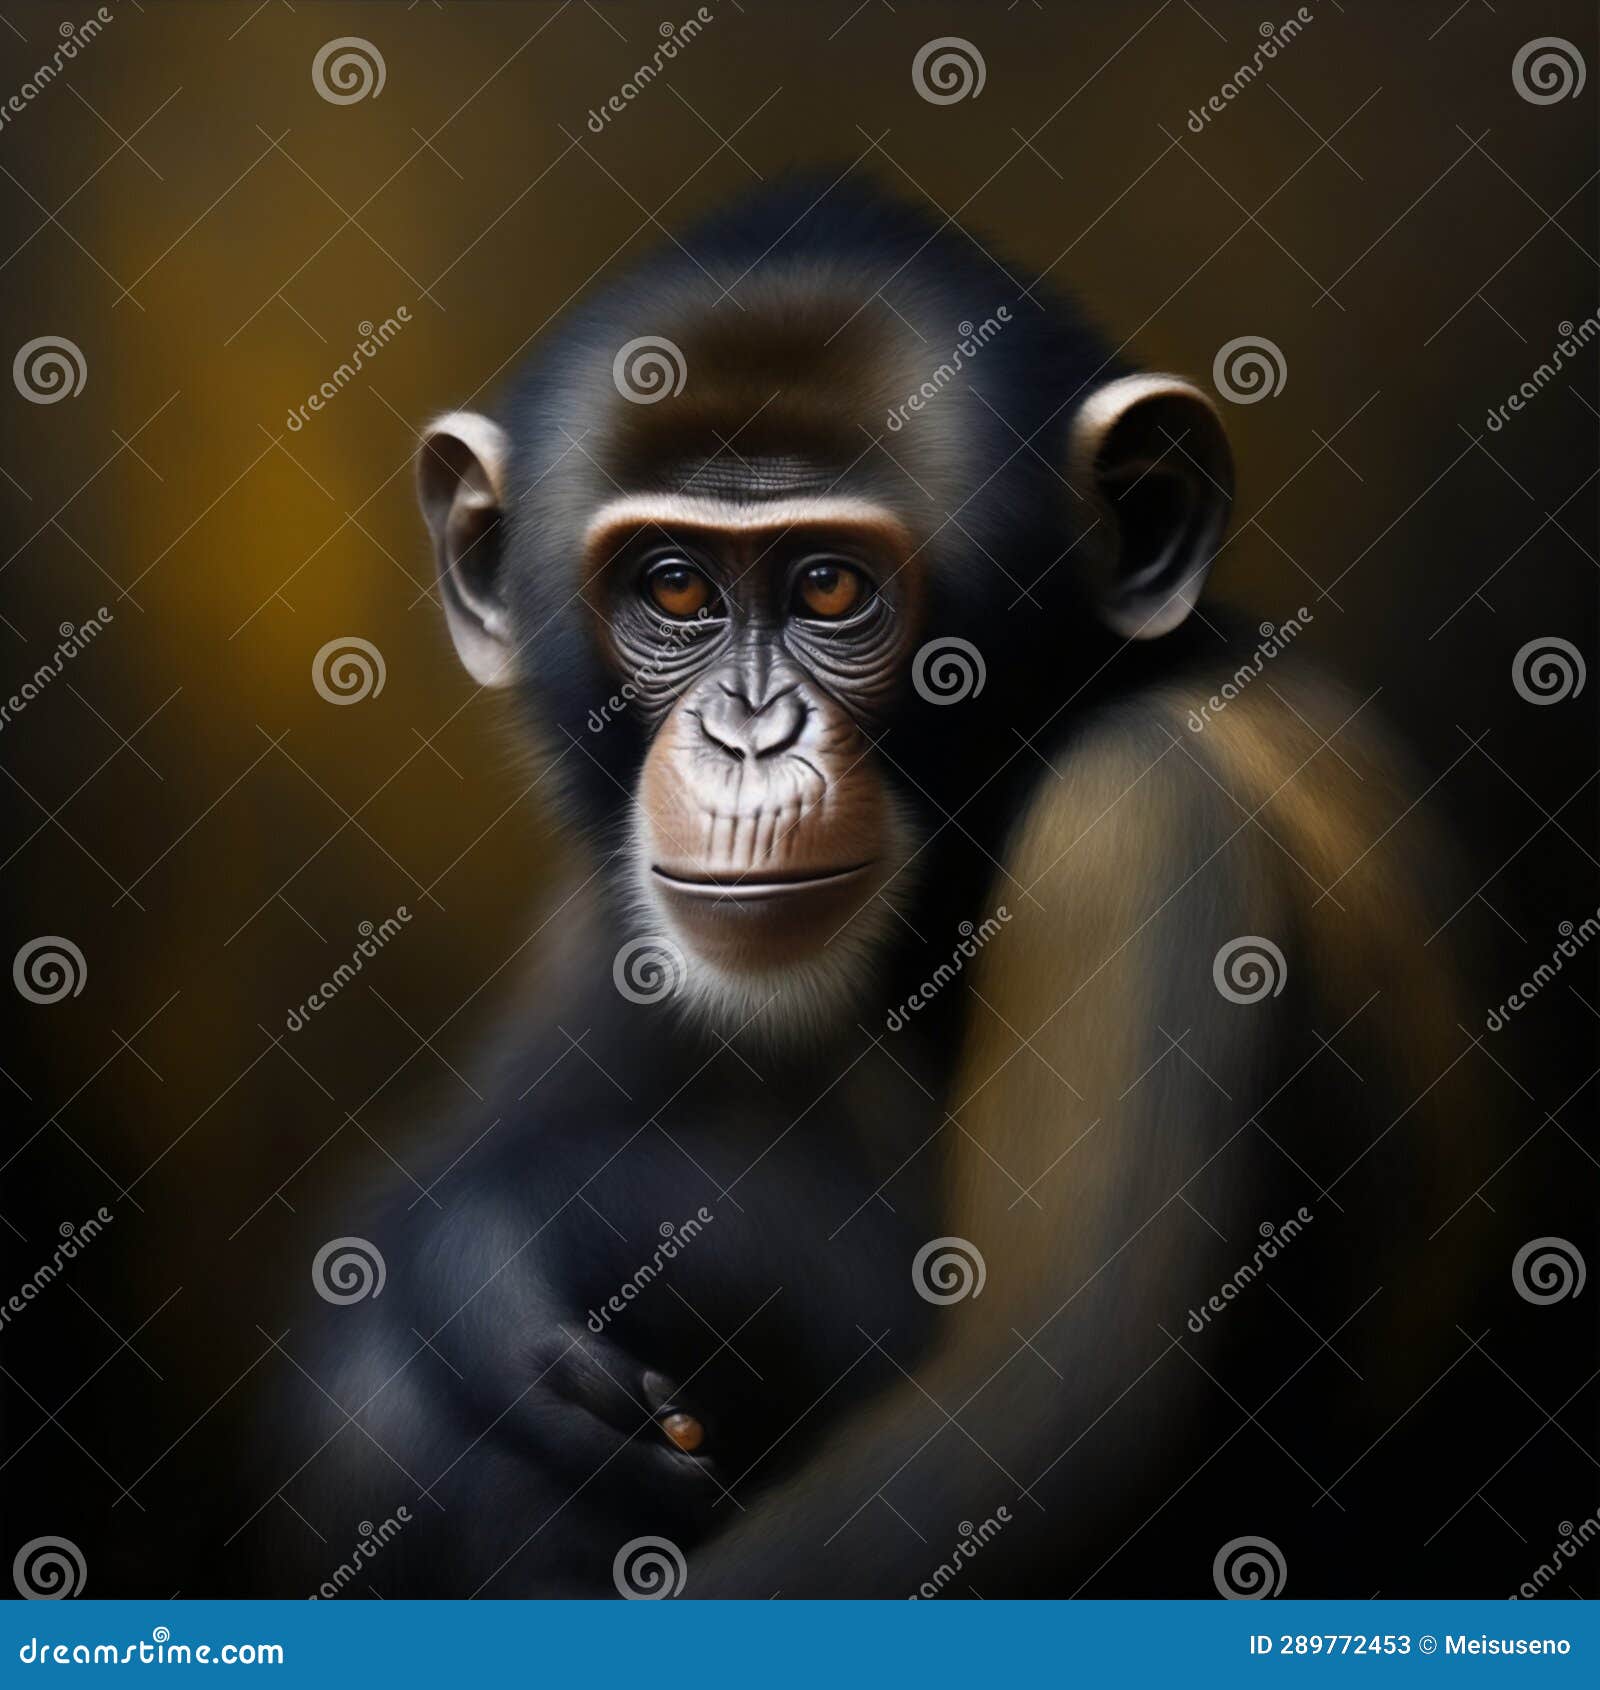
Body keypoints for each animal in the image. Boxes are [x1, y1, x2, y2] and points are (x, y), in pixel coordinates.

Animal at [253, 176, 1497, 1599]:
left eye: (831, 585)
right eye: (673, 585)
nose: (746, 732)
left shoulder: (1142, 826)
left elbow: (1032, 1431)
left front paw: (535, 1241)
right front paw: (485, 1263)